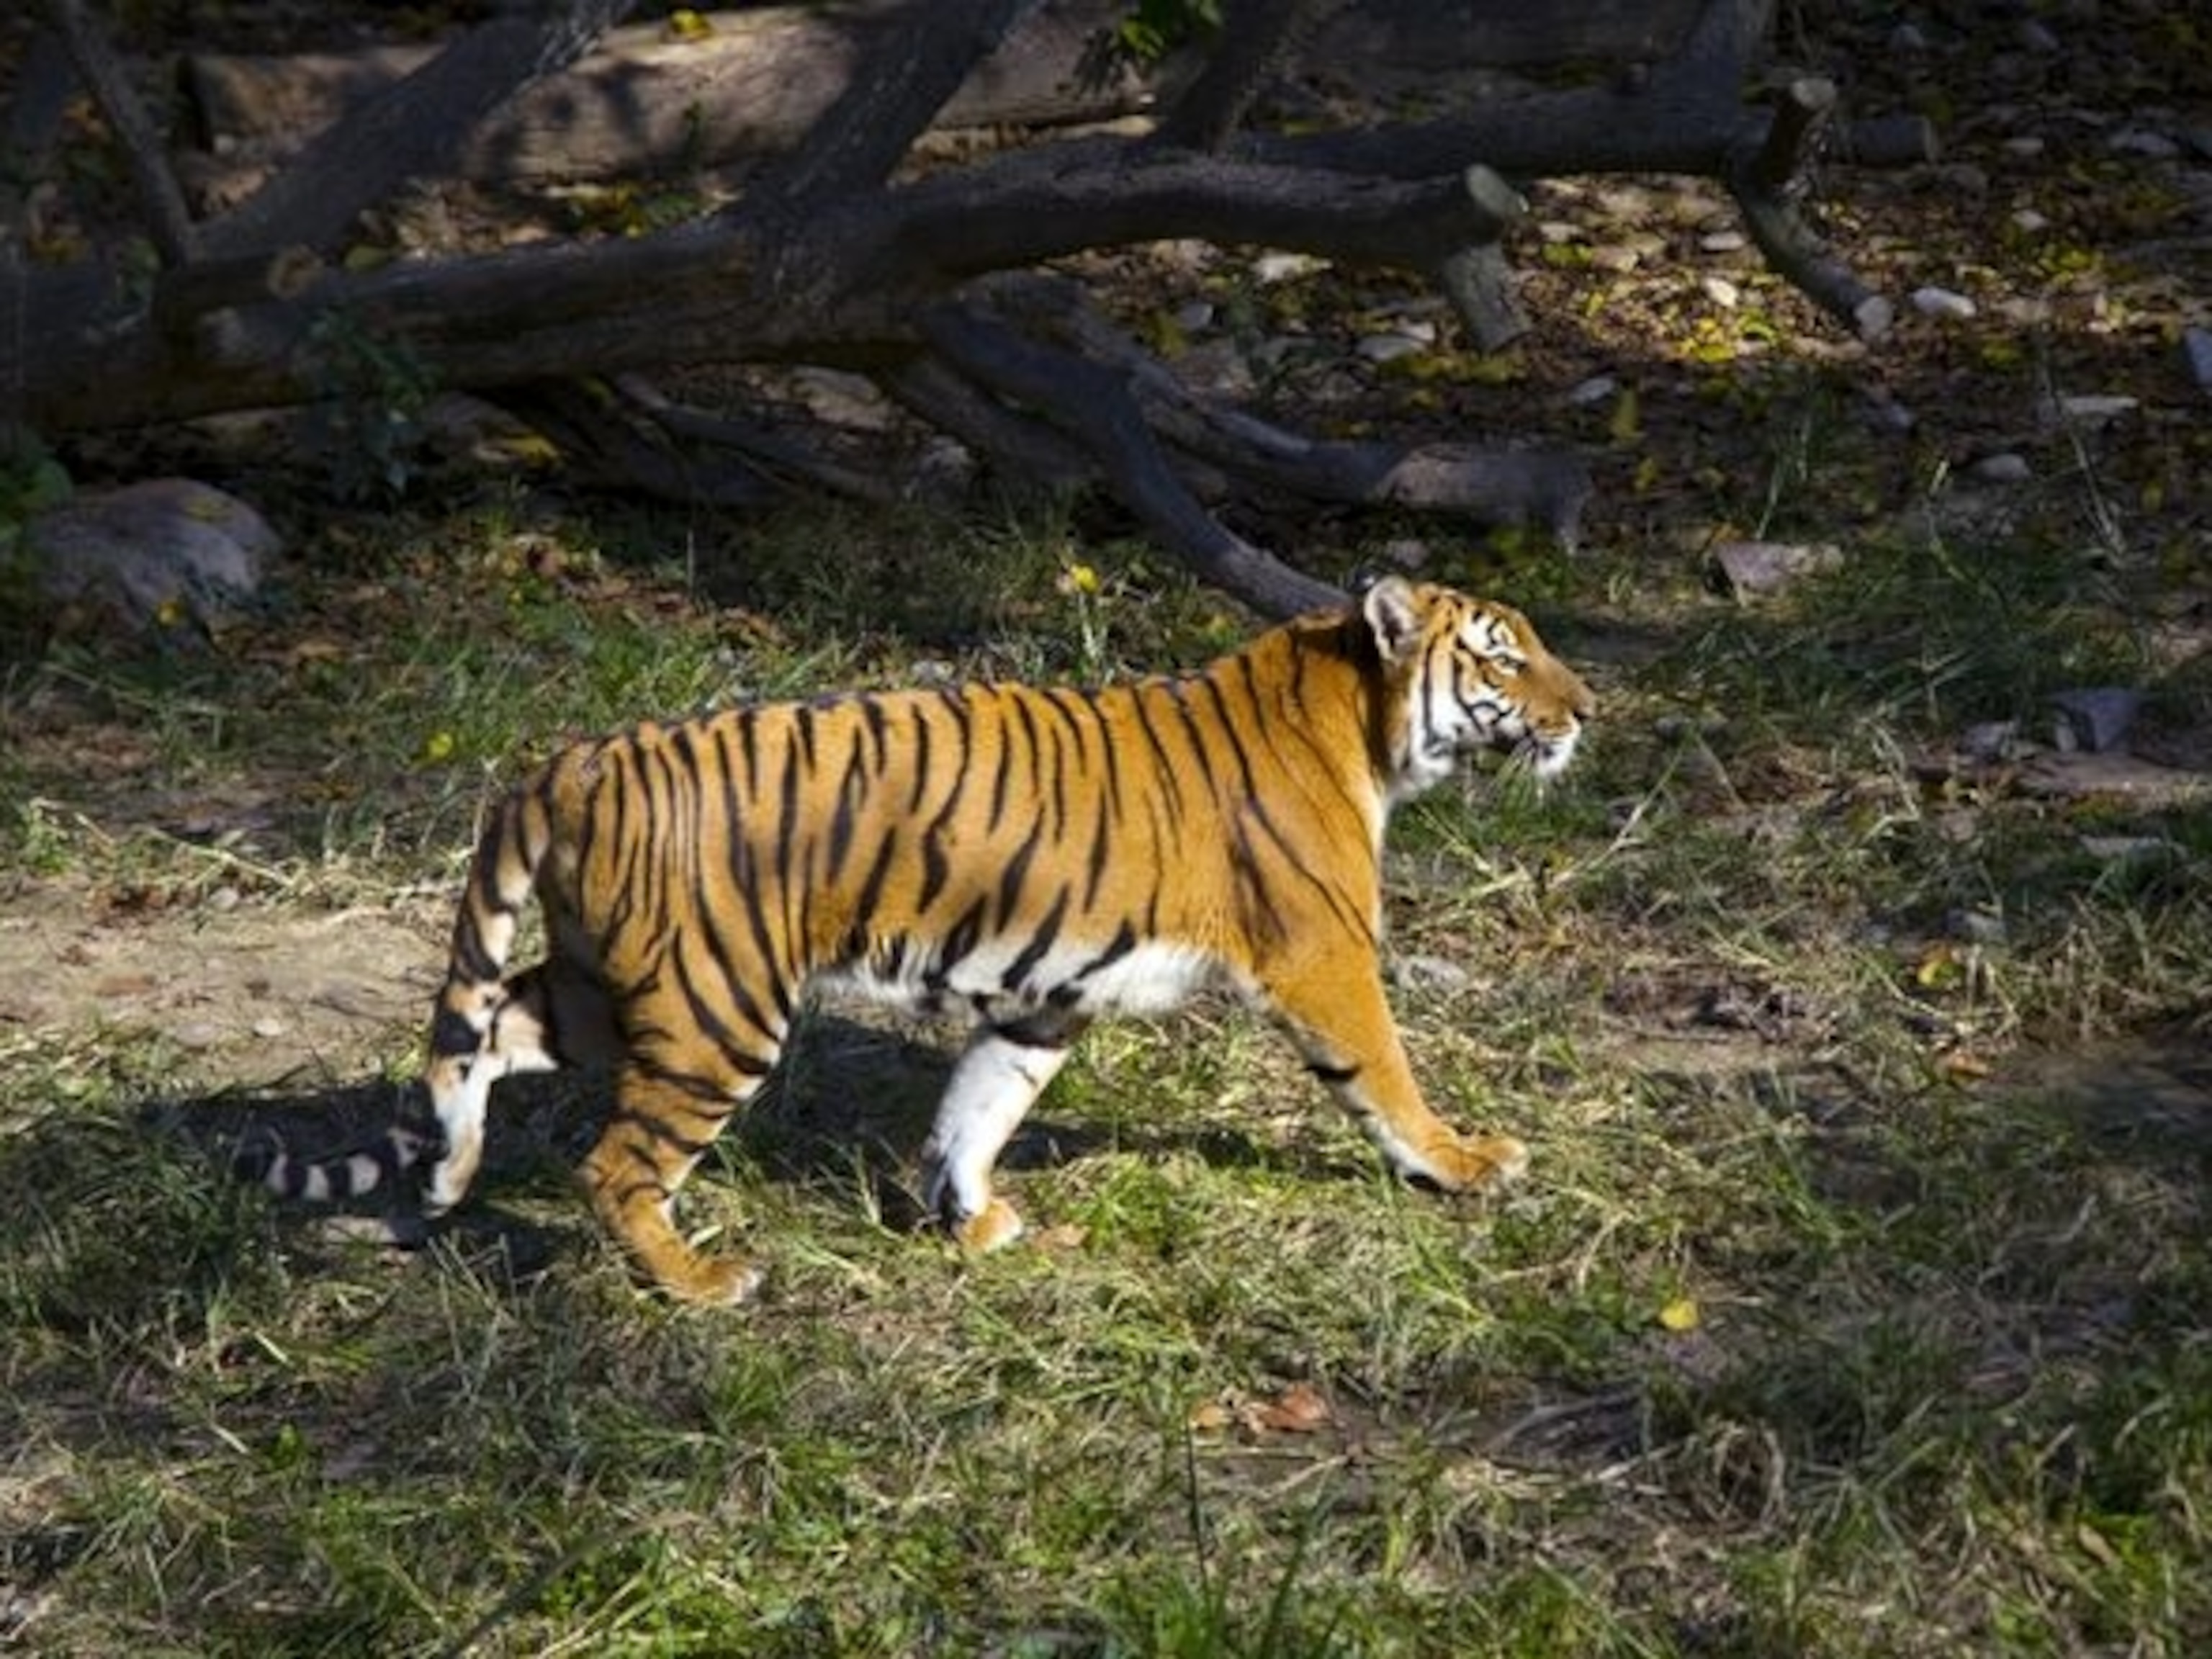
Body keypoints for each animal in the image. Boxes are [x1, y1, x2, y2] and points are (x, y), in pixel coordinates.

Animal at [260, 575, 1594, 1304]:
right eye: (1505, 654)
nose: (1589, 708)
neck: (1361, 718)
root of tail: (572, 760)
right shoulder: (1325, 957)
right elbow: (1389, 1076)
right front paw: (1465, 1161)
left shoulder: (1046, 994)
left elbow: (981, 1102)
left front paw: (970, 1217)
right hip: (718, 1008)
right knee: (614, 1167)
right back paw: (700, 1283)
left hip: (611, 985)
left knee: (474, 1041)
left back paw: (449, 1174)